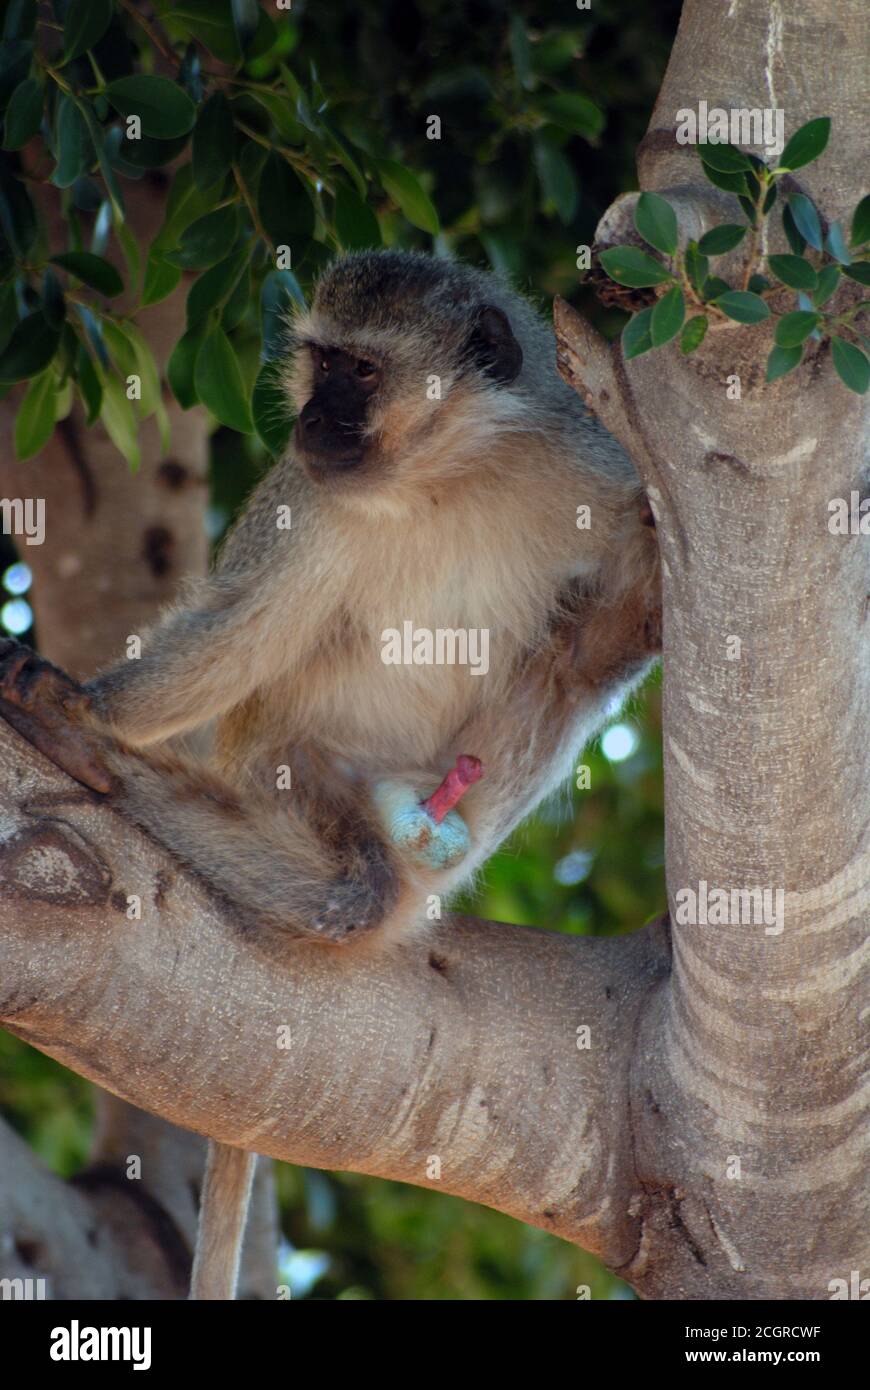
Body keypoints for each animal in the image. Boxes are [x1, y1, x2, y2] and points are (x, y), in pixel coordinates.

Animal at [0, 248, 661, 1299]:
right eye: (318, 363)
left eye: (359, 371)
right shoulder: (306, 507)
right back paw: (105, 759)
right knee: (344, 886)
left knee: (547, 686)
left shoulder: (584, 462)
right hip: (283, 761)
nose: (310, 417)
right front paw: (88, 709)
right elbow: (245, 628)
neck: (447, 474)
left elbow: (635, 599)